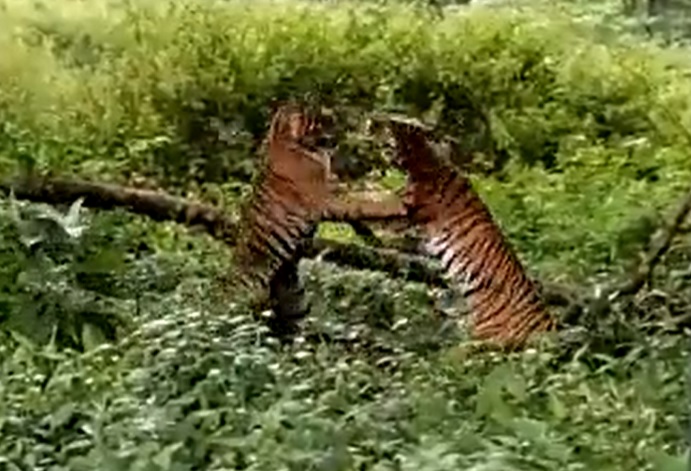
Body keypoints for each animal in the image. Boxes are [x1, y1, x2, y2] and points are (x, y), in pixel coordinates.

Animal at [377, 115, 556, 348]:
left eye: (389, 127)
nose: (373, 123)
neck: (425, 159)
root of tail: (547, 323)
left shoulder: (405, 209)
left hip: (485, 333)